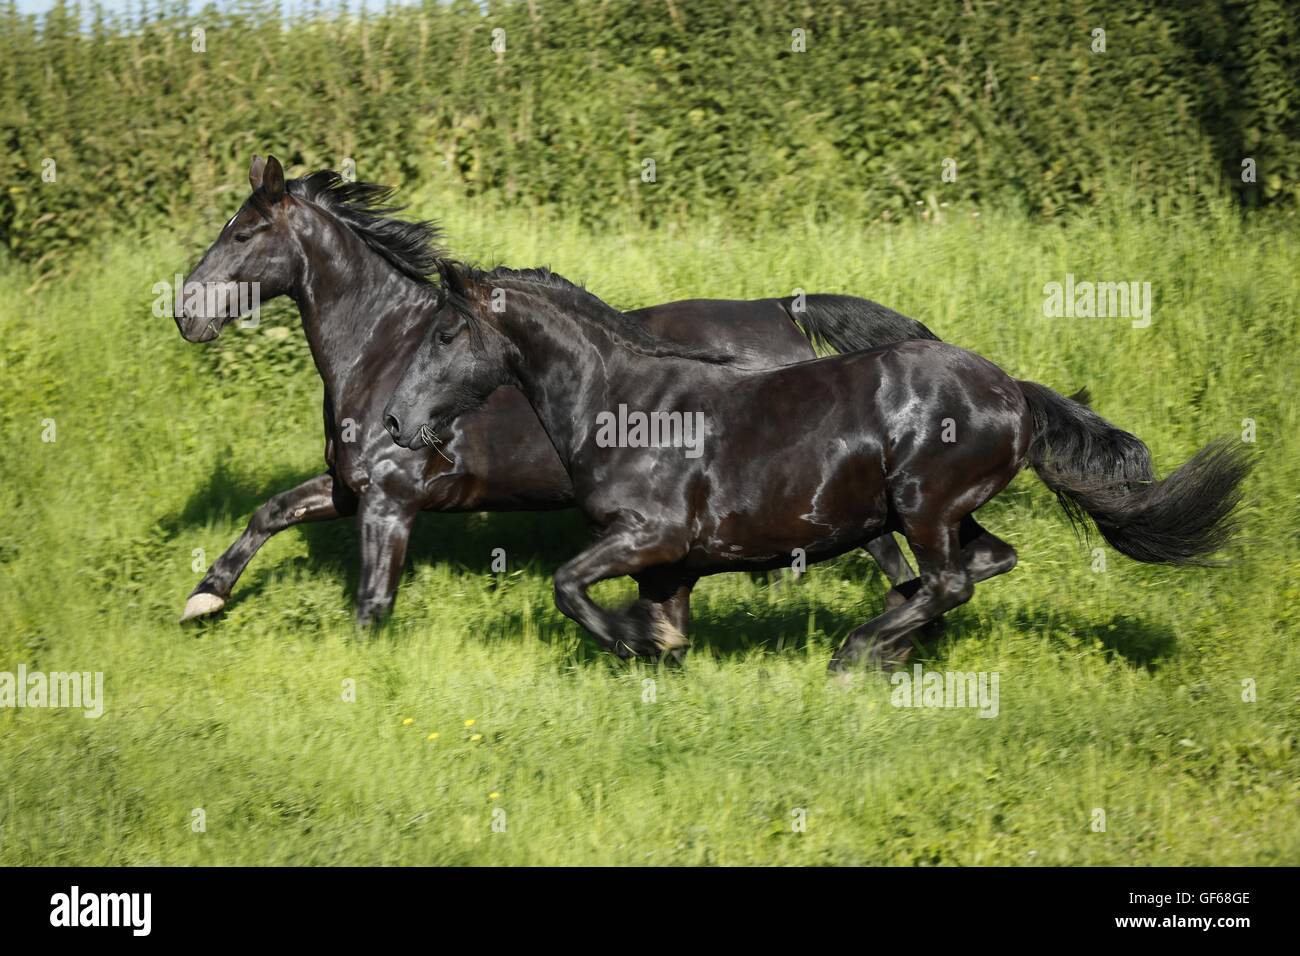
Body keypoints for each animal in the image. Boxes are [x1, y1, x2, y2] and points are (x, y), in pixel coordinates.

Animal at [174, 155, 939, 626]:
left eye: (243, 233)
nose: (184, 312)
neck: (384, 349)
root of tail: (782, 308)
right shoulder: (348, 486)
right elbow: (271, 512)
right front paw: (203, 598)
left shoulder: (392, 500)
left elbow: (371, 604)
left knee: (885, 550)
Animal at [383, 263, 1252, 670]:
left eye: (445, 335)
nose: (394, 420)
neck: (623, 404)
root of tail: (1016, 392)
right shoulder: (671, 568)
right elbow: (663, 624)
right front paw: (654, 648)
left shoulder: (649, 538)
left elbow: (567, 586)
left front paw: (629, 644)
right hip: (943, 511)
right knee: (983, 564)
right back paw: (896, 645)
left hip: (924, 505)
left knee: (950, 580)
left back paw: (858, 653)